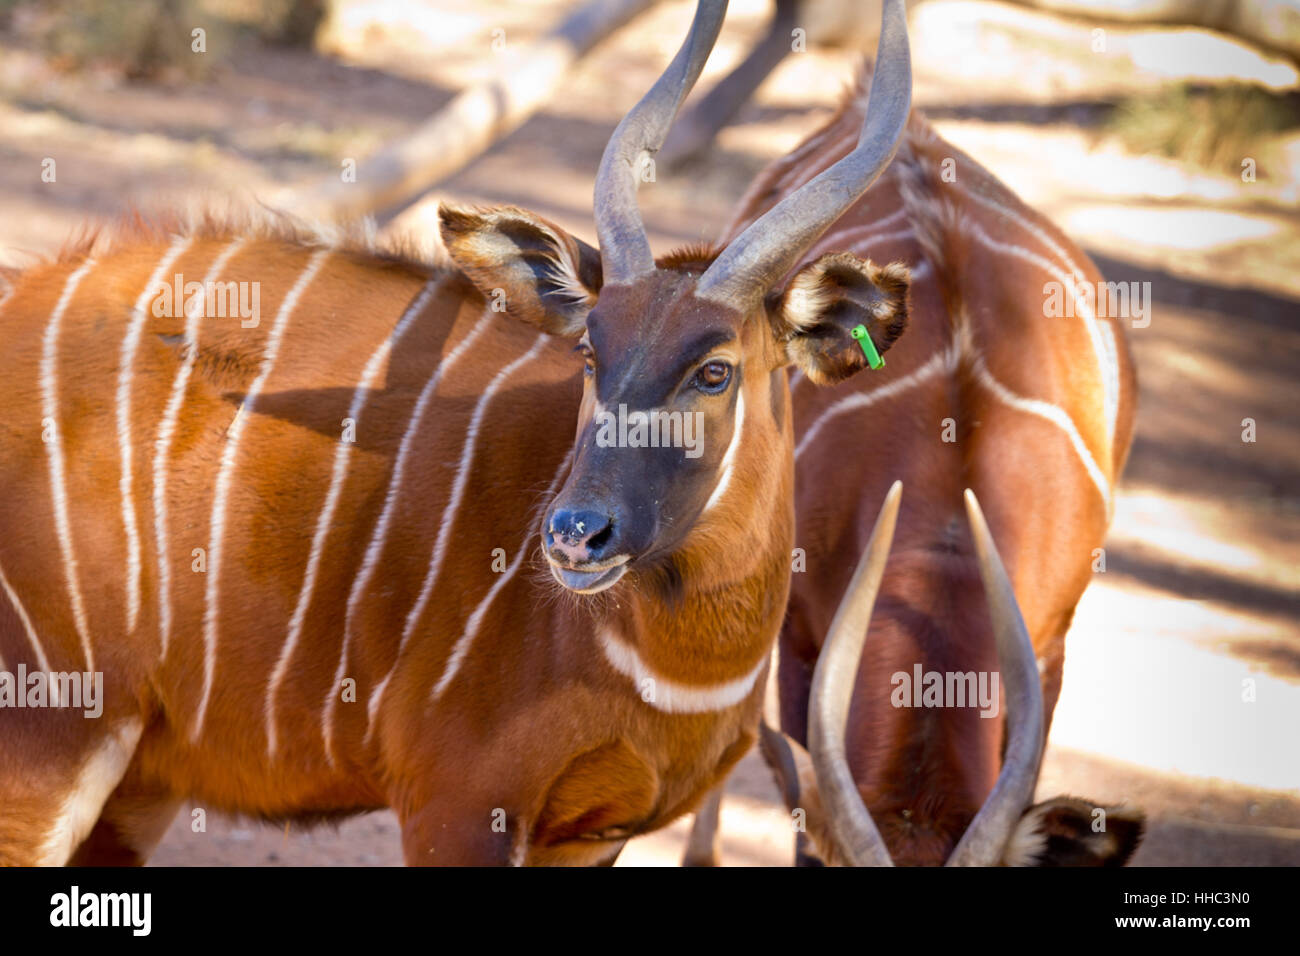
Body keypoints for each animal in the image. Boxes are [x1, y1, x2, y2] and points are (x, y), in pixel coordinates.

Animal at [0, 0, 918, 865]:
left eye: (715, 369)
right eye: (591, 350)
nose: (574, 535)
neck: (675, 664)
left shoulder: (590, 833)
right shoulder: (459, 804)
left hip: (135, 782)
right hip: (49, 743)